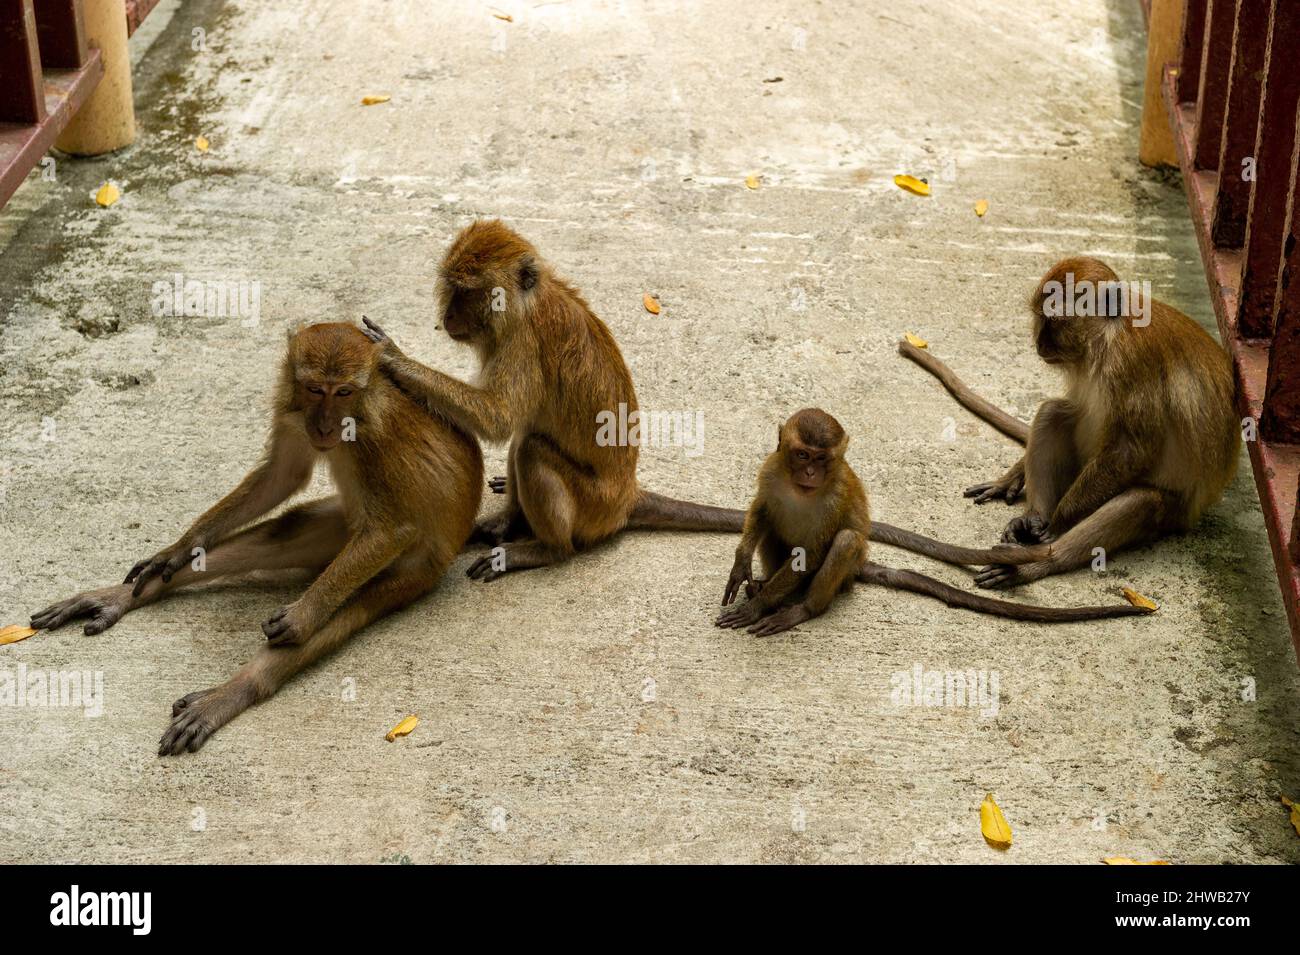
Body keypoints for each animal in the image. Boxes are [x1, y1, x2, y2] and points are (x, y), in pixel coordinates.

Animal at [29, 323, 482, 755]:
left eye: (344, 392)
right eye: (315, 389)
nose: (324, 425)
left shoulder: (378, 440)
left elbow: (393, 528)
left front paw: (299, 619)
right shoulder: (293, 414)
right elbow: (280, 478)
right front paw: (178, 549)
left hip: (408, 573)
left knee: (335, 615)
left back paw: (233, 691)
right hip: (344, 529)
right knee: (286, 531)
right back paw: (124, 597)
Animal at [715, 408, 1153, 637]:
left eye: (822, 460)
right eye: (802, 455)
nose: (810, 475)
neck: (801, 489)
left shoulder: (835, 493)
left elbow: (817, 547)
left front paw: (759, 608)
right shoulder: (771, 470)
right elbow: (762, 510)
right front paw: (741, 568)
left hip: (844, 573)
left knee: (845, 542)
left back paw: (802, 608)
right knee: (775, 529)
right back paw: (763, 583)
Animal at [899, 256, 1240, 590]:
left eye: (1053, 320)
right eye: (1040, 318)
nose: (1038, 343)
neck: (1106, 338)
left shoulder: (1132, 360)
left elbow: (1131, 450)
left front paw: (1058, 523)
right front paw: (1013, 480)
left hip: (1173, 513)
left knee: (1142, 501)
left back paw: (1040, 560)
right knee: (1053, 413)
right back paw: (1033, 518)